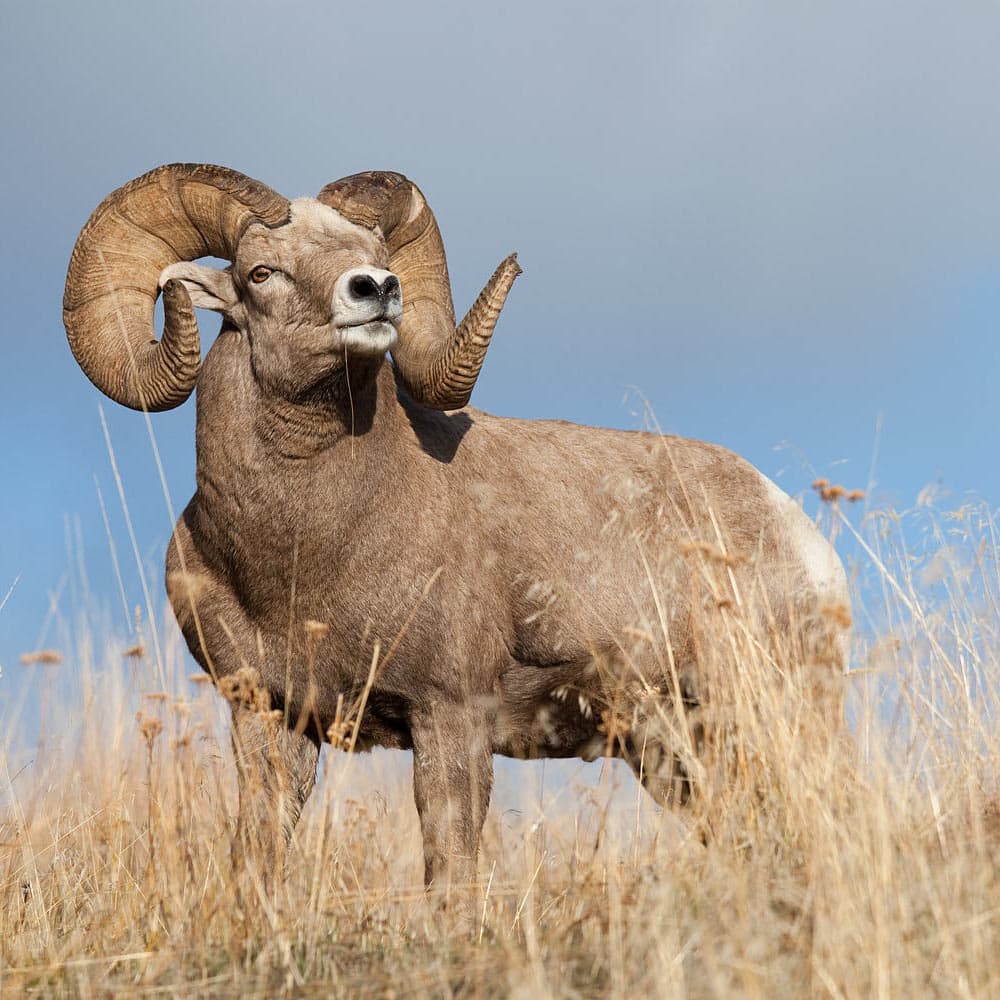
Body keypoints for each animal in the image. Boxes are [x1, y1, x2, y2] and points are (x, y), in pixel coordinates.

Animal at [64, 163, 851, 899]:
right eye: (261, 272)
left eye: (373, 251)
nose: (377, 289)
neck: (301, 559)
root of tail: (805, 540)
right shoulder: (269, 718)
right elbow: (260, 850)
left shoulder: (449, 717)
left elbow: (451, 869)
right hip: (680, 757)